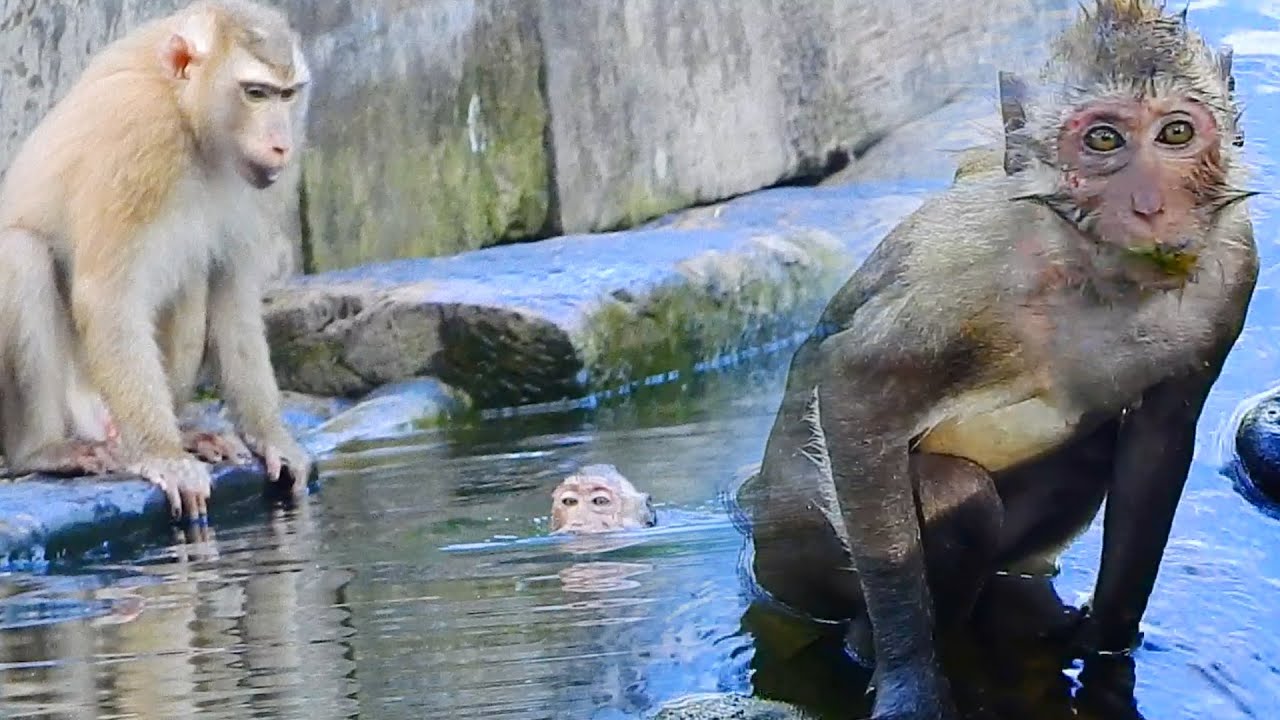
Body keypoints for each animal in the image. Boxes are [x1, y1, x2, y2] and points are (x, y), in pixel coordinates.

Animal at [0, 0, 315, 519]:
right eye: (255, 93)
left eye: (287, 95)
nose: (282, 144)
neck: (186, 113)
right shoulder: (138, 137)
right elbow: (106, 296)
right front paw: (164, 456)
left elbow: (233, 292)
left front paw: (270, 436)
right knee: (21, 256)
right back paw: (43, 451)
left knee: (194, 278)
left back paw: (186, 430)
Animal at [734, 2, 1256, 718]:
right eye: (1103, 141)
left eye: (1176, 132)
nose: (1150, 205)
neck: (1094, 276)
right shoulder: (971, 275)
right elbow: (852, 385)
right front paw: (909, 679)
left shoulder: (1235, 266)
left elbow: (1157, 446)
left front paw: (1108, 653)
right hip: (796, 552)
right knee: (959, 498)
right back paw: (870, 642)